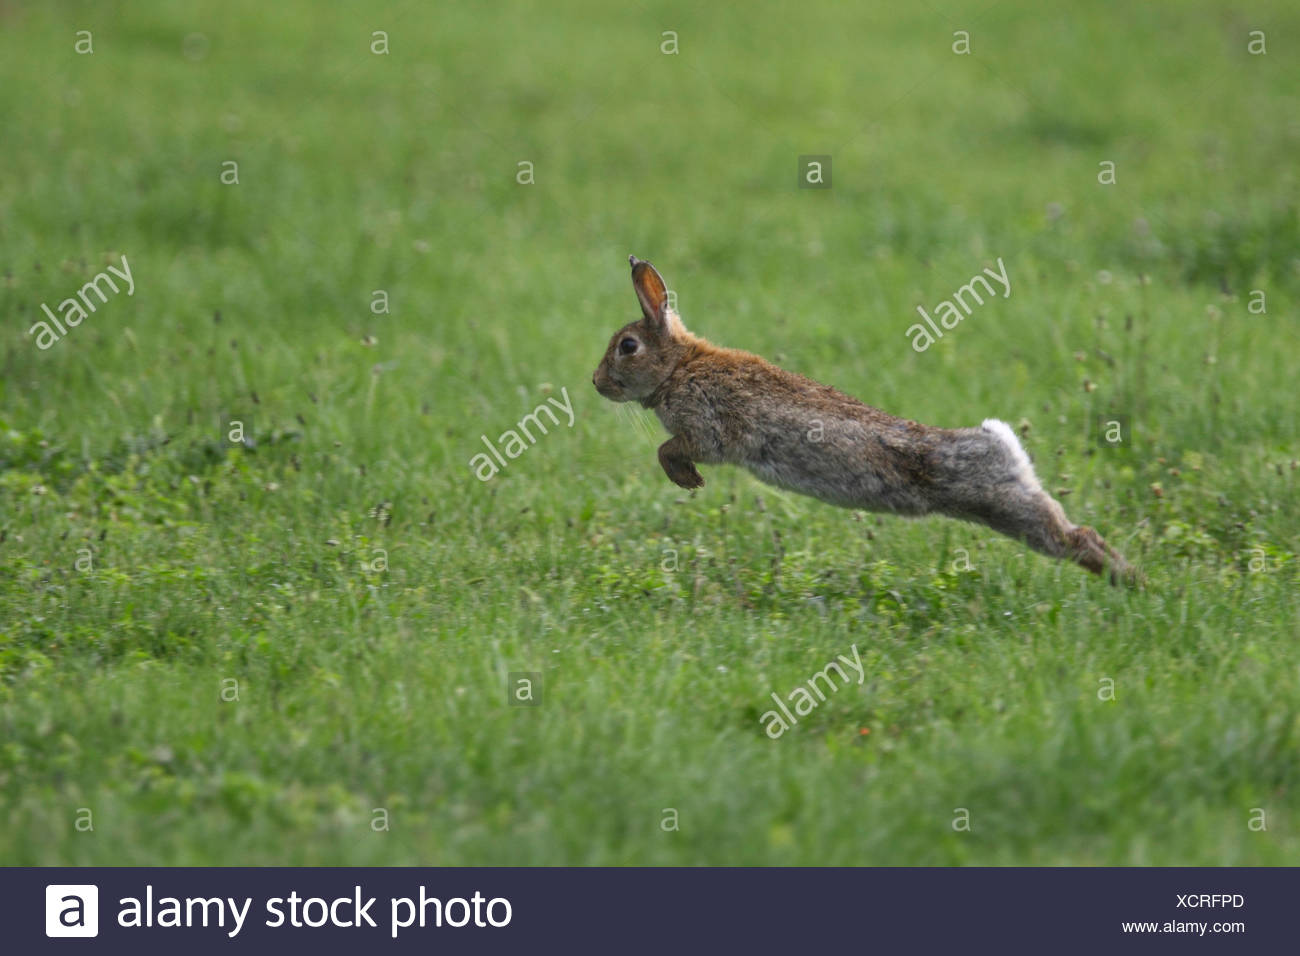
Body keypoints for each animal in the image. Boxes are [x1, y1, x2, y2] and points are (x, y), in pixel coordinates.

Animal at [593, 256, 1138, 585]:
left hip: (999, 502)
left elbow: (671, 449)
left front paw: (688, 480)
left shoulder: (706, 427)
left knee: (1071, 537)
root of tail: (999, 442)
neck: (679, 366)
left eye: (628, 346)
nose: (597, 382)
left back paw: (1131, 582)